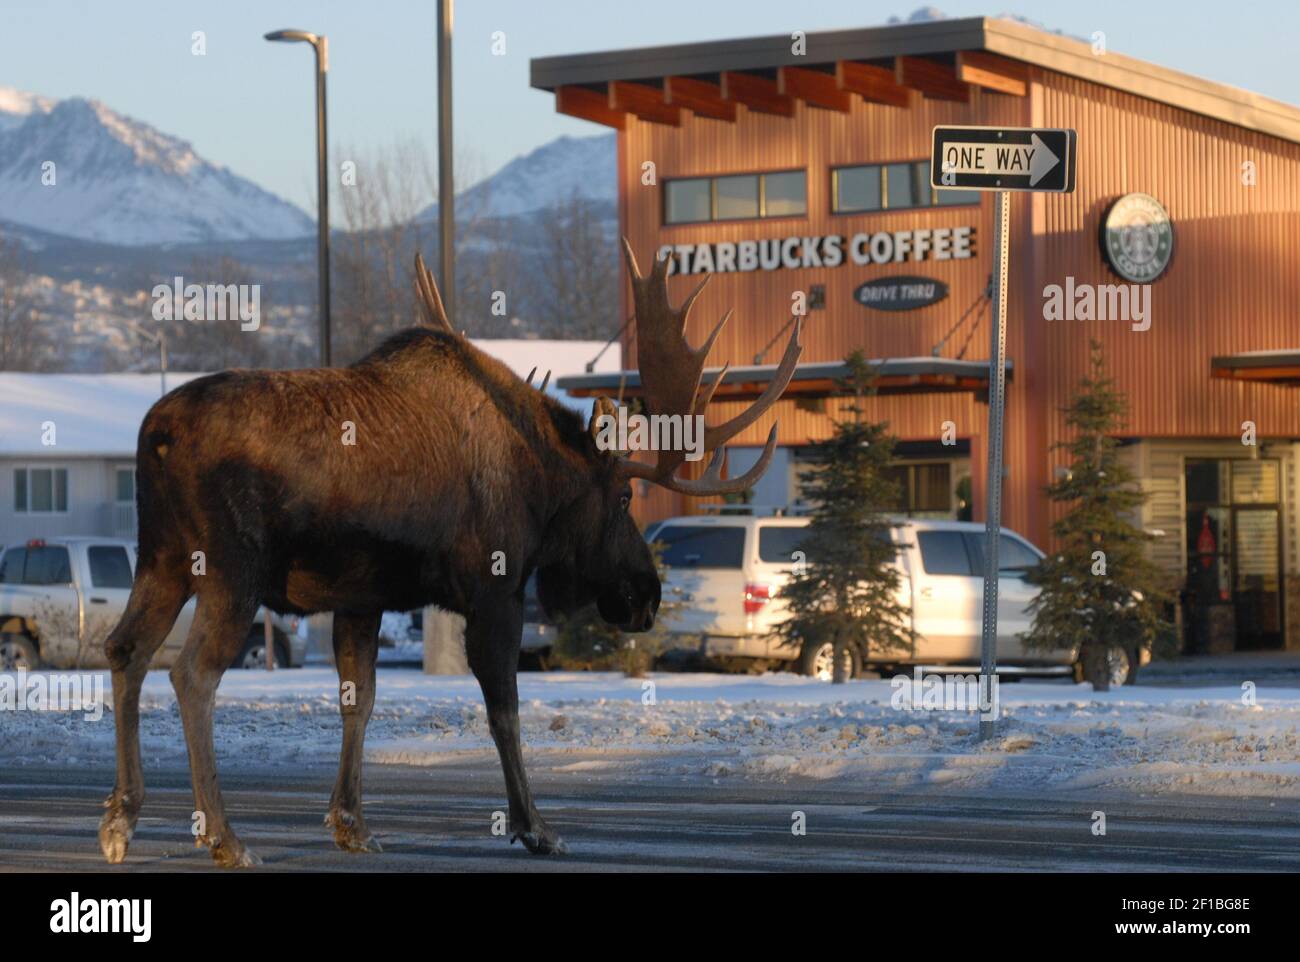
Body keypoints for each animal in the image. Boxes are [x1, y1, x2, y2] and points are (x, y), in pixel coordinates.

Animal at [98, 240, 801, 867]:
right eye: (625, 496)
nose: (646, 595)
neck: (539, 480)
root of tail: (156, 434)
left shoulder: (362, 598)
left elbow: (360, 699)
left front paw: (352, 824)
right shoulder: (495, 591)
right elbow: (503, 709)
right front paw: (535, 827)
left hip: (160, 559)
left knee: (126, 650)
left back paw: (121, 818)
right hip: (230, 572)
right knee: (191, 673)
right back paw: (224, 836)